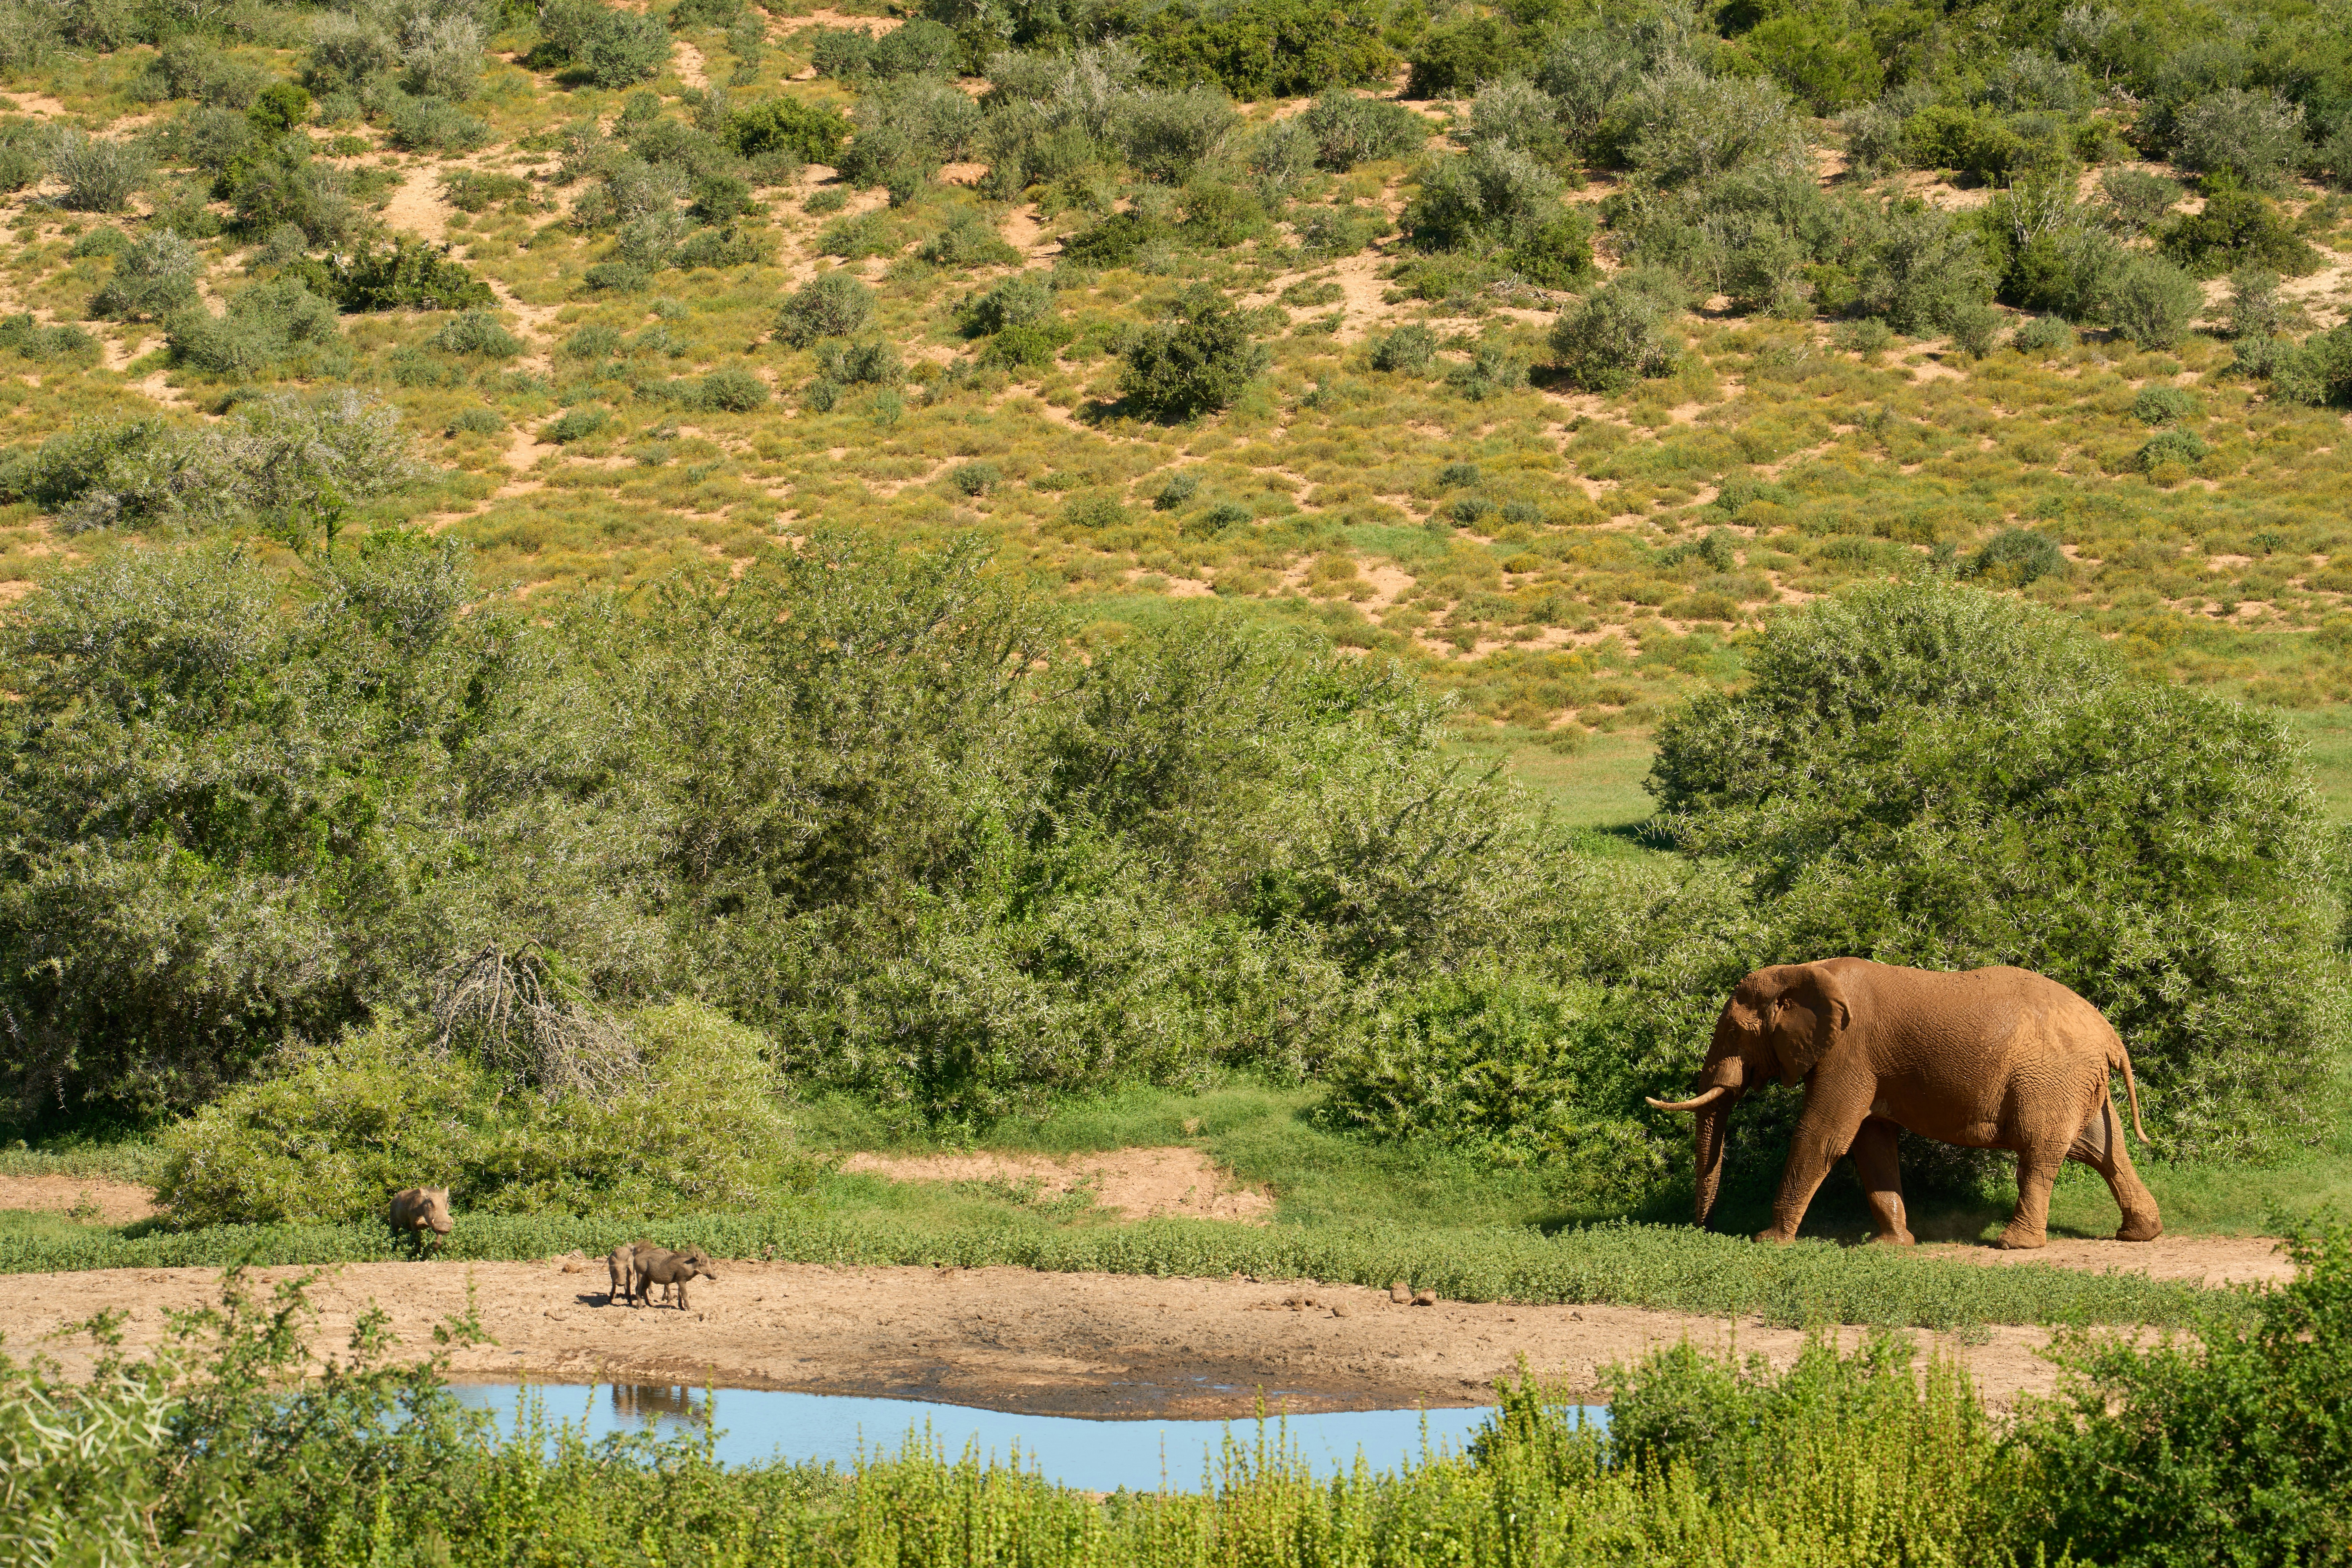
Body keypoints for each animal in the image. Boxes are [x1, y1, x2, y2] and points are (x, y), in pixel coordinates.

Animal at [1646, 959, 2161, 1250]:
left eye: (1735, 1031)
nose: (1705, 1230)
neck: (1802, 972)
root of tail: (2111, 1036)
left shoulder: (1849, 1052)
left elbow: (1824, 1136)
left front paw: (1769, 1242)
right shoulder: (1867, 1067)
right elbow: (1871, 1143)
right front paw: (1889, 1246)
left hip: (2050, 1078)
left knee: (2040, 1154)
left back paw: (2014, 1246)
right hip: (2076, 1081)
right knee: (2103, 1150)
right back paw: (2141, 1234)